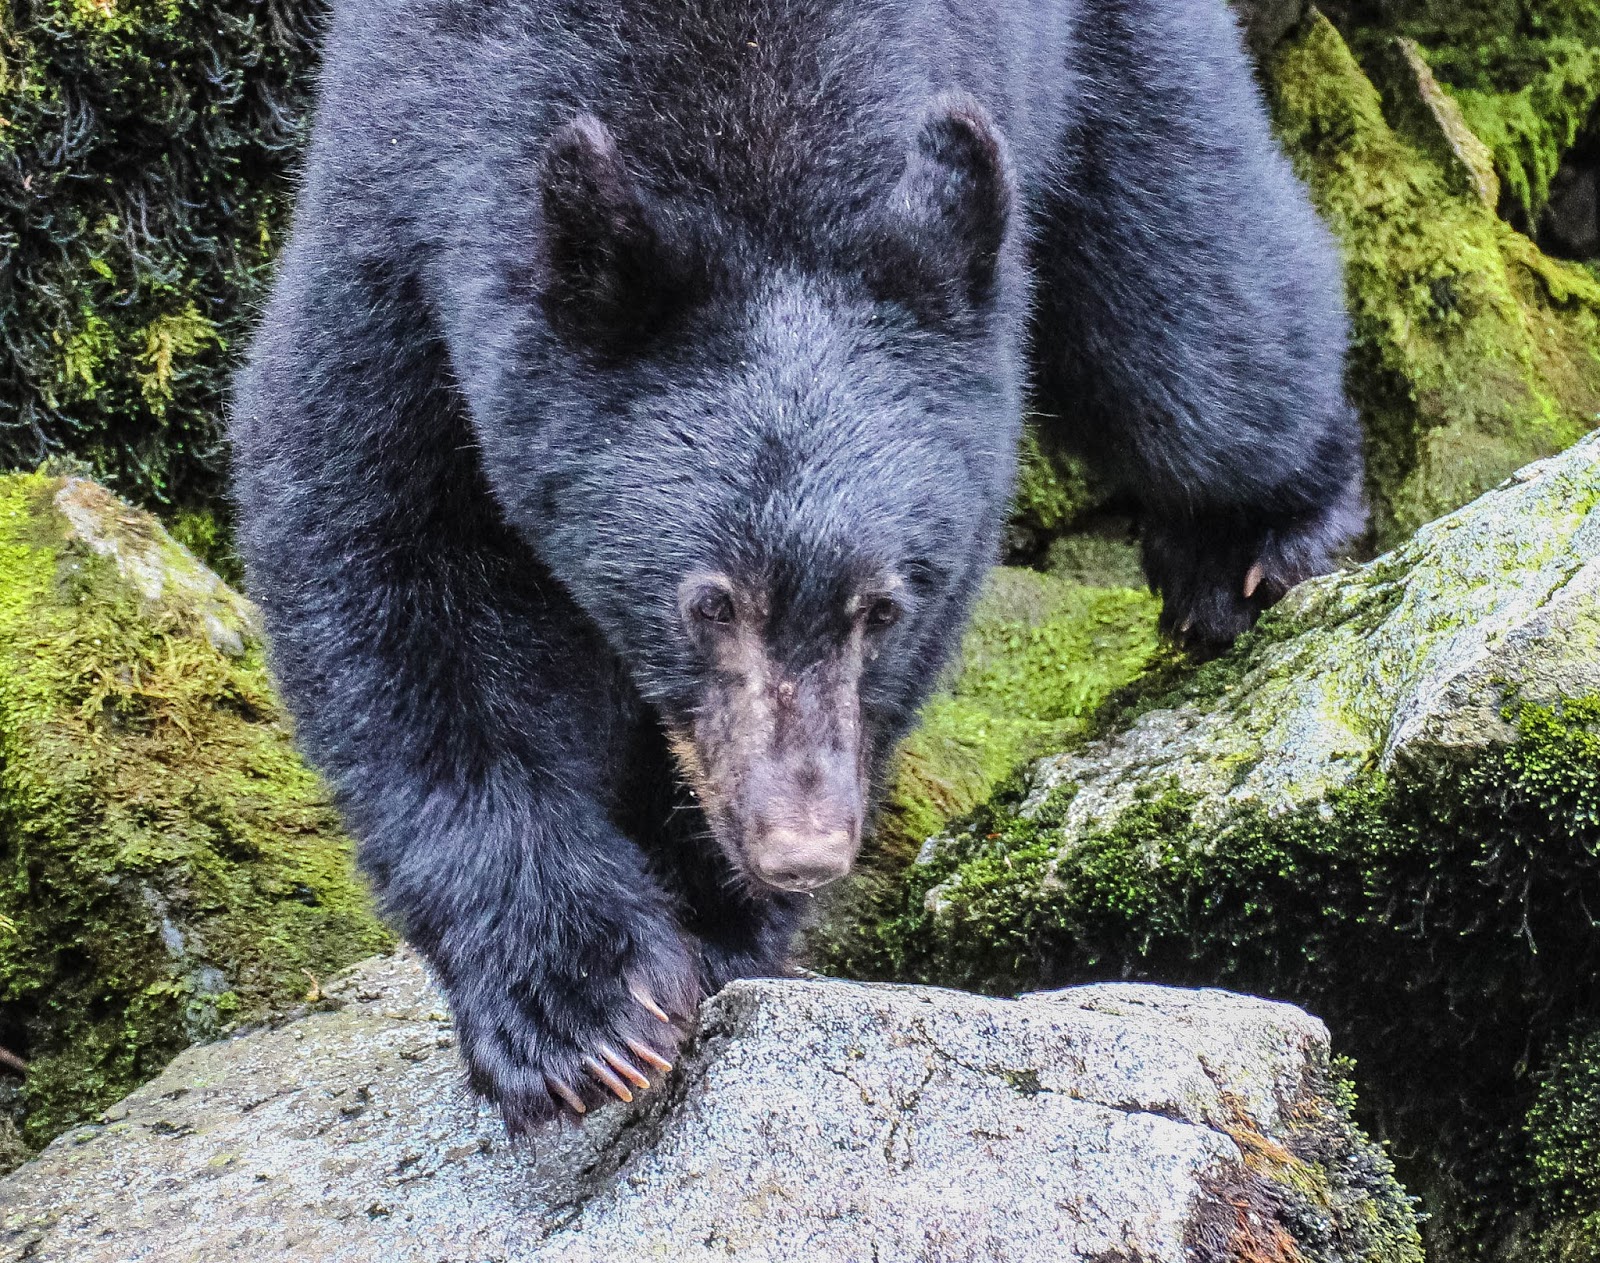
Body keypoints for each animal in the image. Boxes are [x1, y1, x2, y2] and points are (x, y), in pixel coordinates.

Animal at [230, 0, 1364, 1130]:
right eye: (708, 604)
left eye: (882, 609)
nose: (802, 846)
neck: (754, 139)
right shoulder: (399, 197)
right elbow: (387, 561)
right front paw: (580, 1010)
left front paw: (717, 926)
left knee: (1194, 334)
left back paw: (1256, 542)